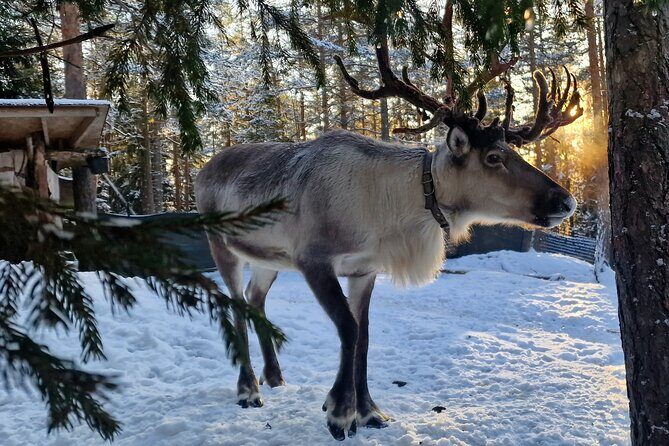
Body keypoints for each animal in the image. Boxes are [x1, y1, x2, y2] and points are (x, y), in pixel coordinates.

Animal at [194, 43, 583, 441]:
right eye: (493, 157)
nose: (566, 202)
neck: (389, 210)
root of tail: (203, 168)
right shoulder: (313, 259)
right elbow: (348, 328)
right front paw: (339, 411)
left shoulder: (364, 269)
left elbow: (363, 336)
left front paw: (368, 411)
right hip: (220, 243)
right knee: (235, 301)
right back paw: (248, 389)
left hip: (268, 259)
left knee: (255, 298)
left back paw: (274, 376)